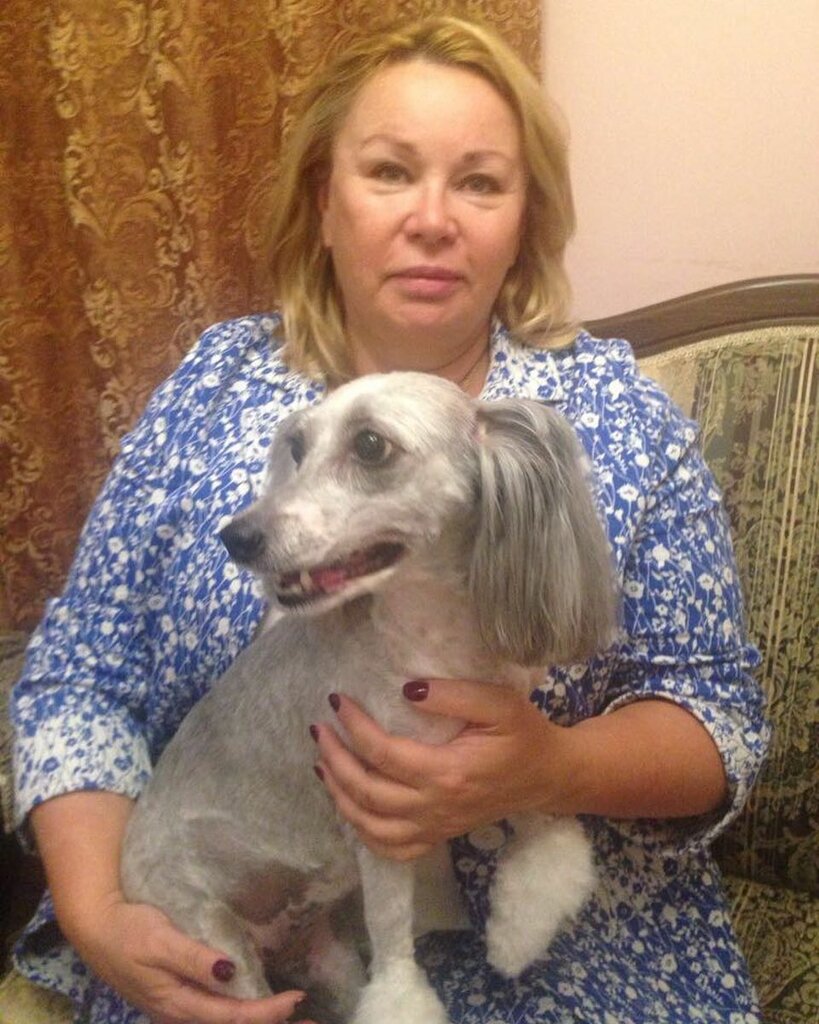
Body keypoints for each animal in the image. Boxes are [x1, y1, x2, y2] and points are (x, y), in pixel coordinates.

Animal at [121, 371, 618, 1023]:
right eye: (298, 448)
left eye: (371, 445)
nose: (236, 538)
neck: (435, 642)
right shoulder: (378, 821)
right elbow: (391, 937)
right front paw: (404, 988)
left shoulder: (493, 752)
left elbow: (535, 822)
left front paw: (520, 928)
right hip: (212, 941)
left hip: (326, 959)